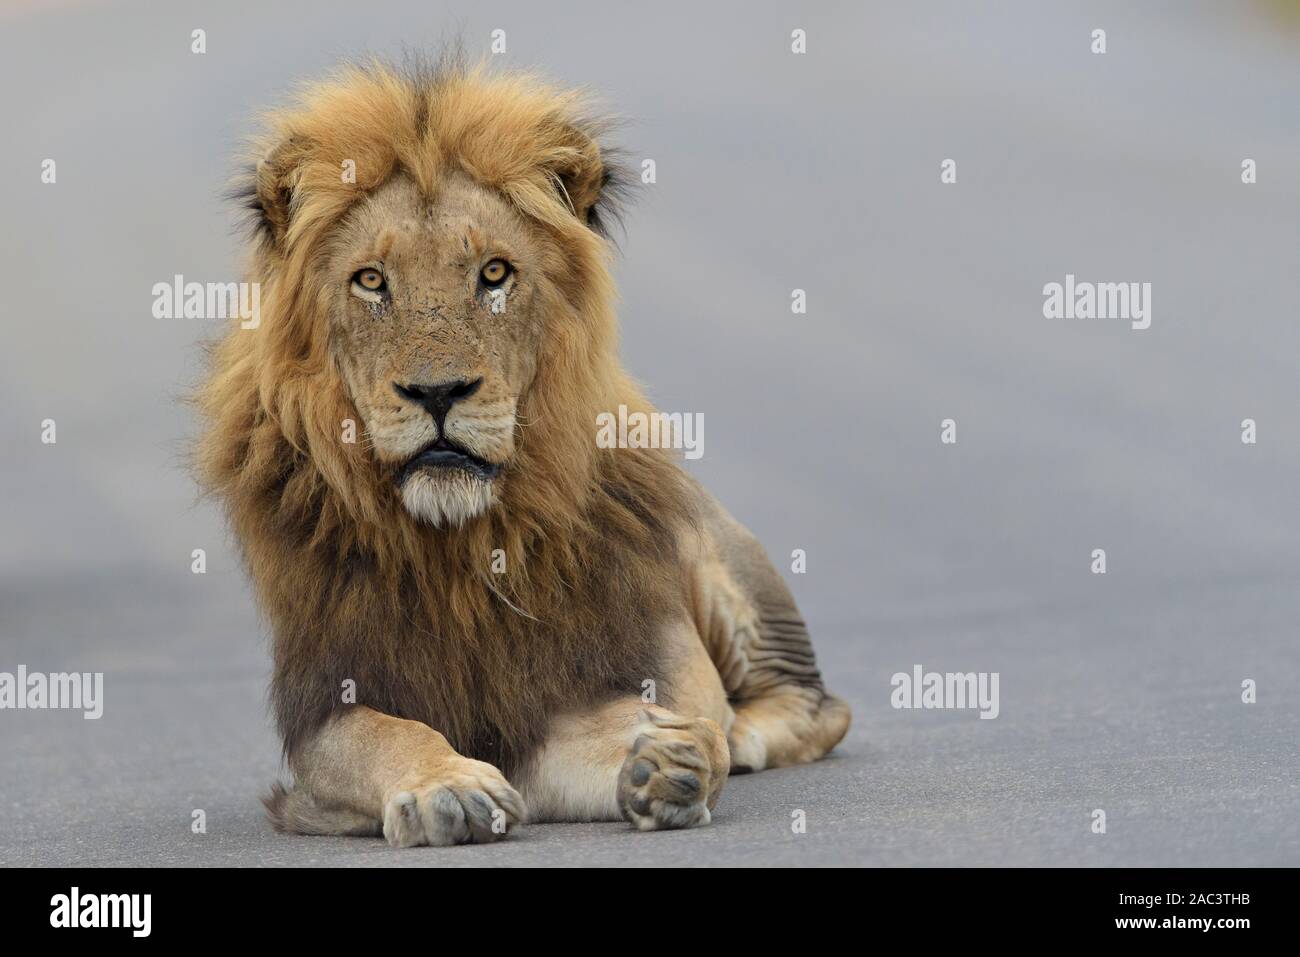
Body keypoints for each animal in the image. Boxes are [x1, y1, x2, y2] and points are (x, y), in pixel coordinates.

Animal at [196, 58, 850, 846]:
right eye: (372, 281)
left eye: (495, 273)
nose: (438, 392)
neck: (461, 545)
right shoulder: (327, 708)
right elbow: (387, 735)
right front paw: (447, 787)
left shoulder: (583, 682)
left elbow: (643, 725)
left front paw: (668, 760)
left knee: (818, 706)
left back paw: (742, 733)